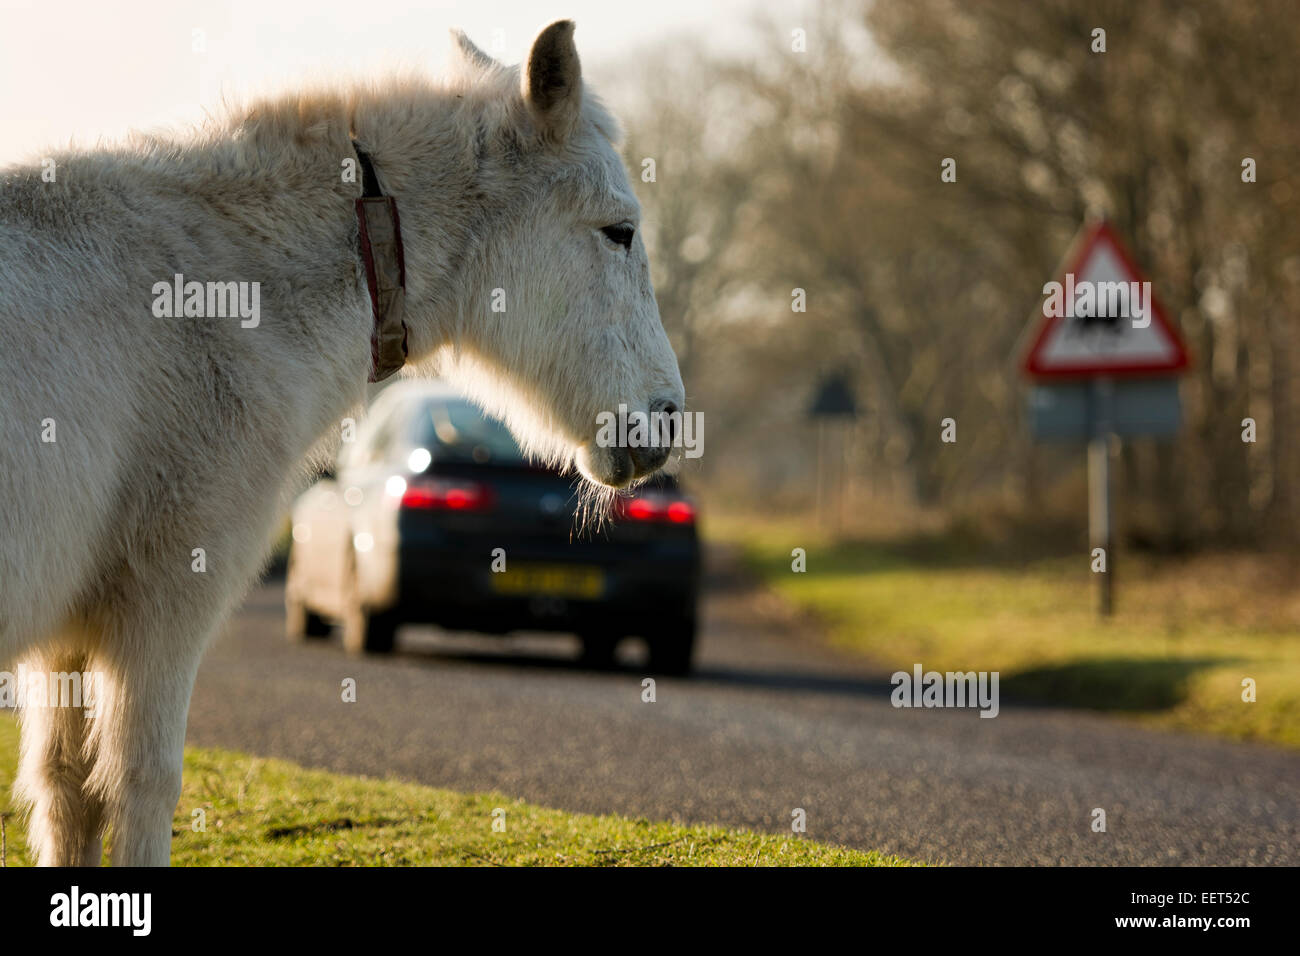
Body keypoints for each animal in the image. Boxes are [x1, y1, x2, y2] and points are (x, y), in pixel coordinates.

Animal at [0, 20, 685, 866]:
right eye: (619, 231)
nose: (665, 419)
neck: (222, 297)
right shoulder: (159, 602)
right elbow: (138, 785)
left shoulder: (67, 635)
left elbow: (67, 791)